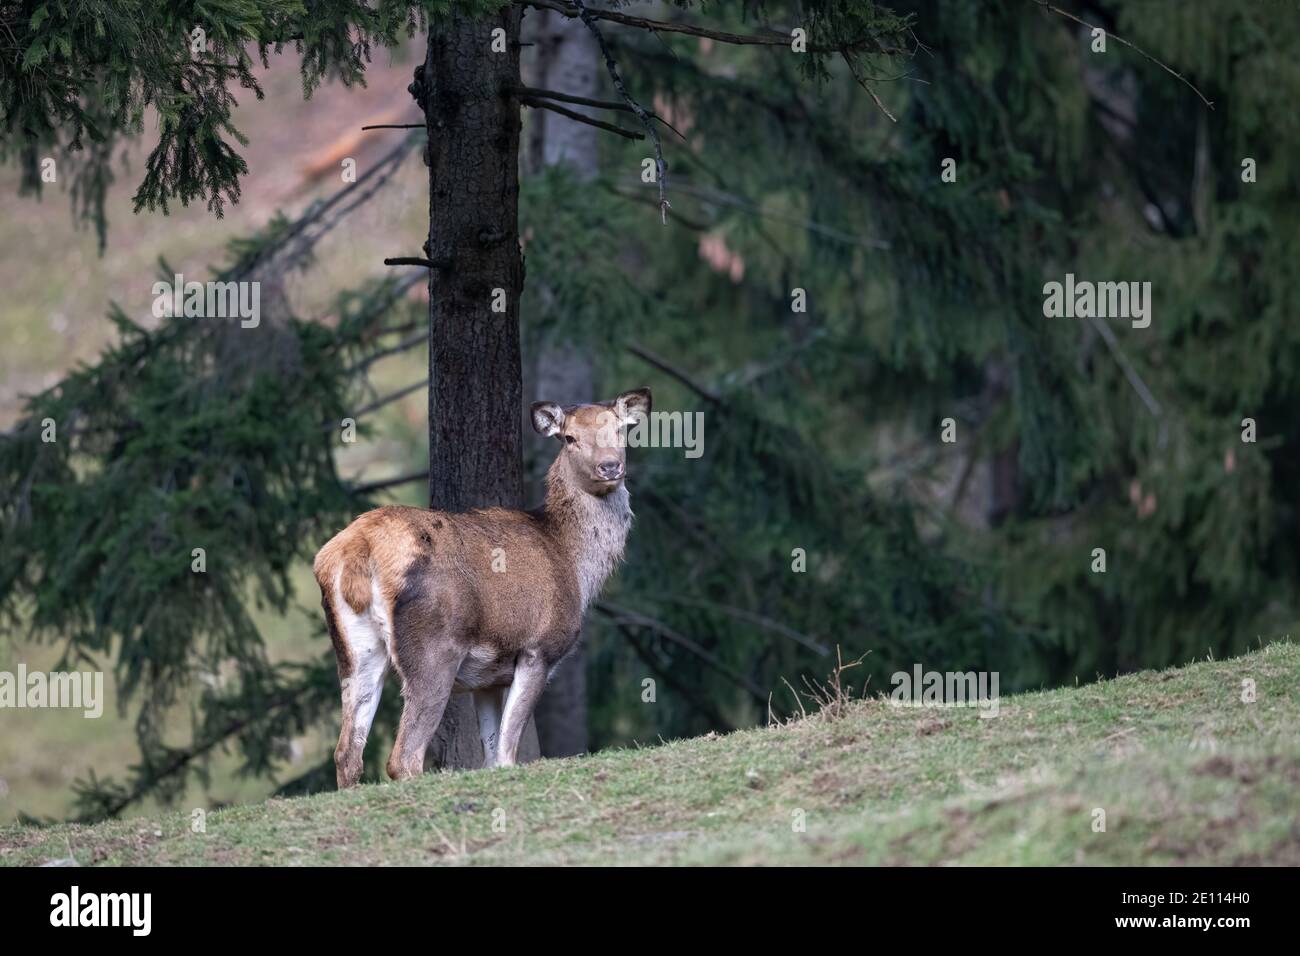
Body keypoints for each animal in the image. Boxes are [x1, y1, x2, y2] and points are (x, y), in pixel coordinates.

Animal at [313, 388, 651, 788]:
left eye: (619, 430)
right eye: (569, 438)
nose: (610, 467)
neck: (573, 562)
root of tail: (355, 548)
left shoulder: (487, 677)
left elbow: (490, 755)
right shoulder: (539, 647)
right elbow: (506, 754)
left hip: (355, 651)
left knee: (346, 753)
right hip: (435, 647)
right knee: (403, 757)